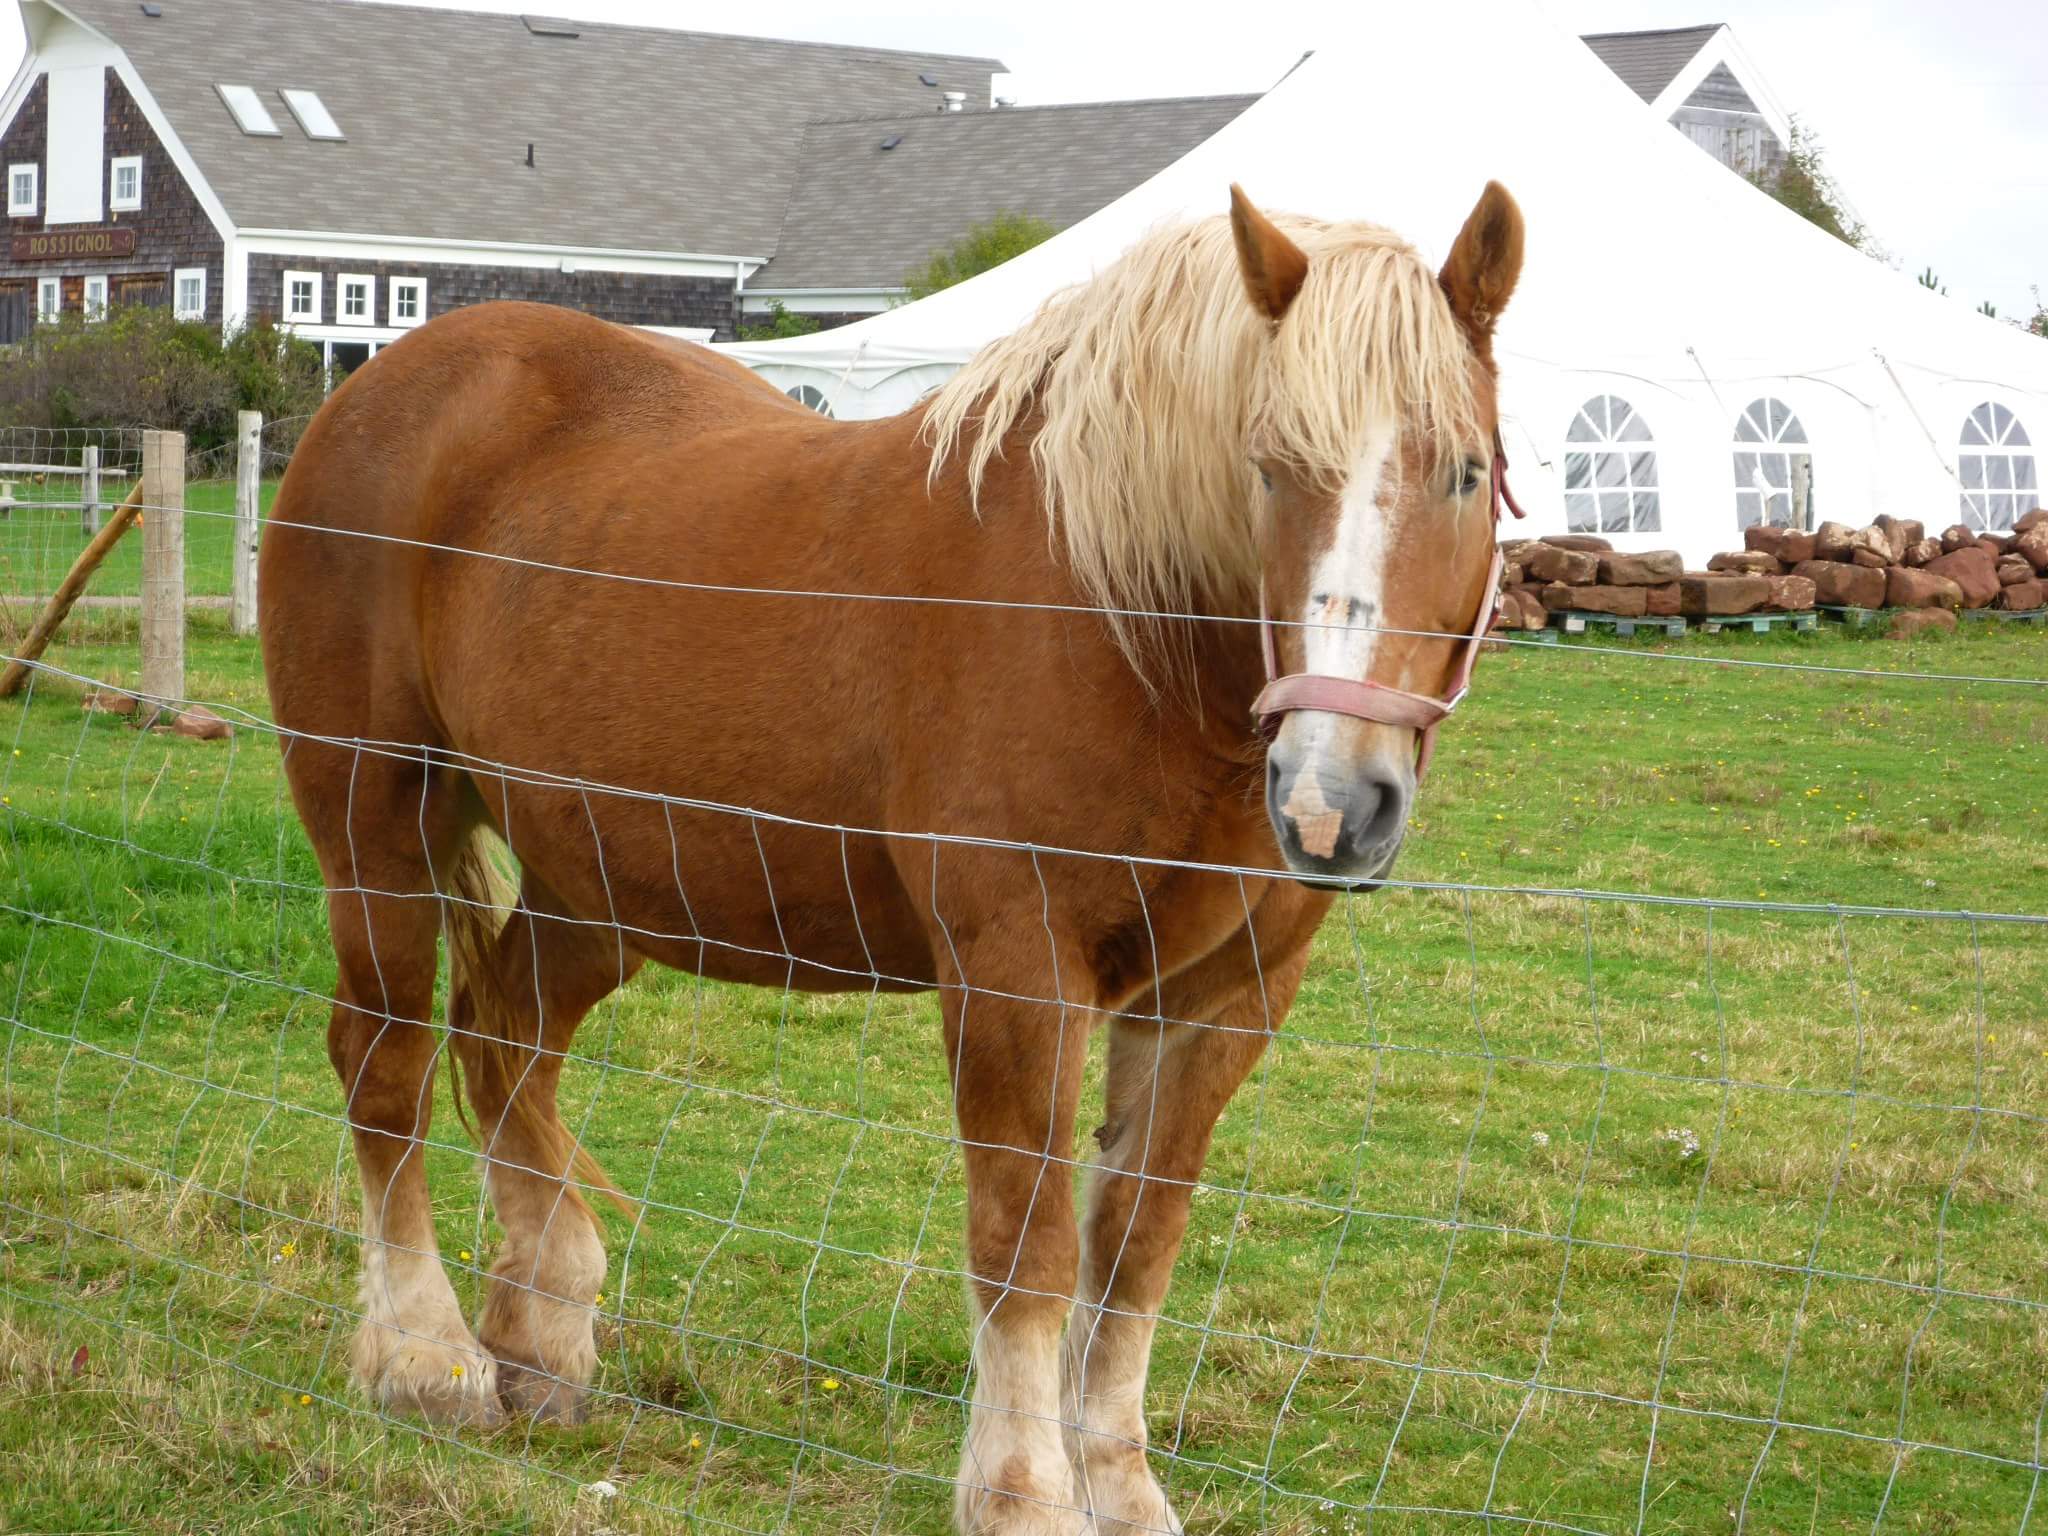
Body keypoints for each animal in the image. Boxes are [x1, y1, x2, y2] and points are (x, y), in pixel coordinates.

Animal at [258, 181, 1523, 1535]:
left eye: (1463, 470)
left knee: (502, 1039)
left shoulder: (1221, 999)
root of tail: (380, 388)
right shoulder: (1016, 974)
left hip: (601, 882)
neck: (1116, 618)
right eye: (1271, 470)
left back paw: (539, 1334)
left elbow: (1134, 1249)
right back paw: (423, 1357)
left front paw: (1119, 1490)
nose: (1334, 800)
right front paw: (1023, 1496)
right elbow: (1026, 1247)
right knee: (386, 1060)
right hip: (374, 826)